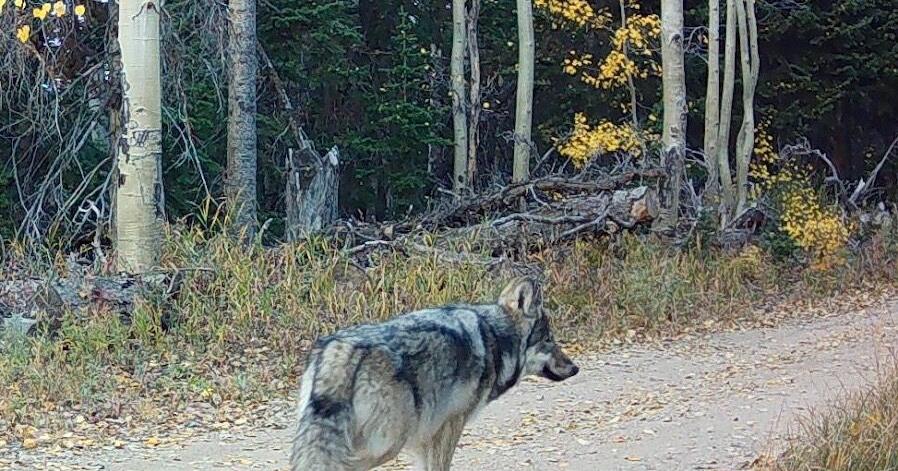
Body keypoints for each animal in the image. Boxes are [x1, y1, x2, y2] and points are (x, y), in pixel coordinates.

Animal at [290, 277, 579, 471]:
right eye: (549, 340)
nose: (576, 368)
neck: (495, 338)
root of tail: (340, 349)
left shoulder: (424, 439)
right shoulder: (448, 427)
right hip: (385, 446)